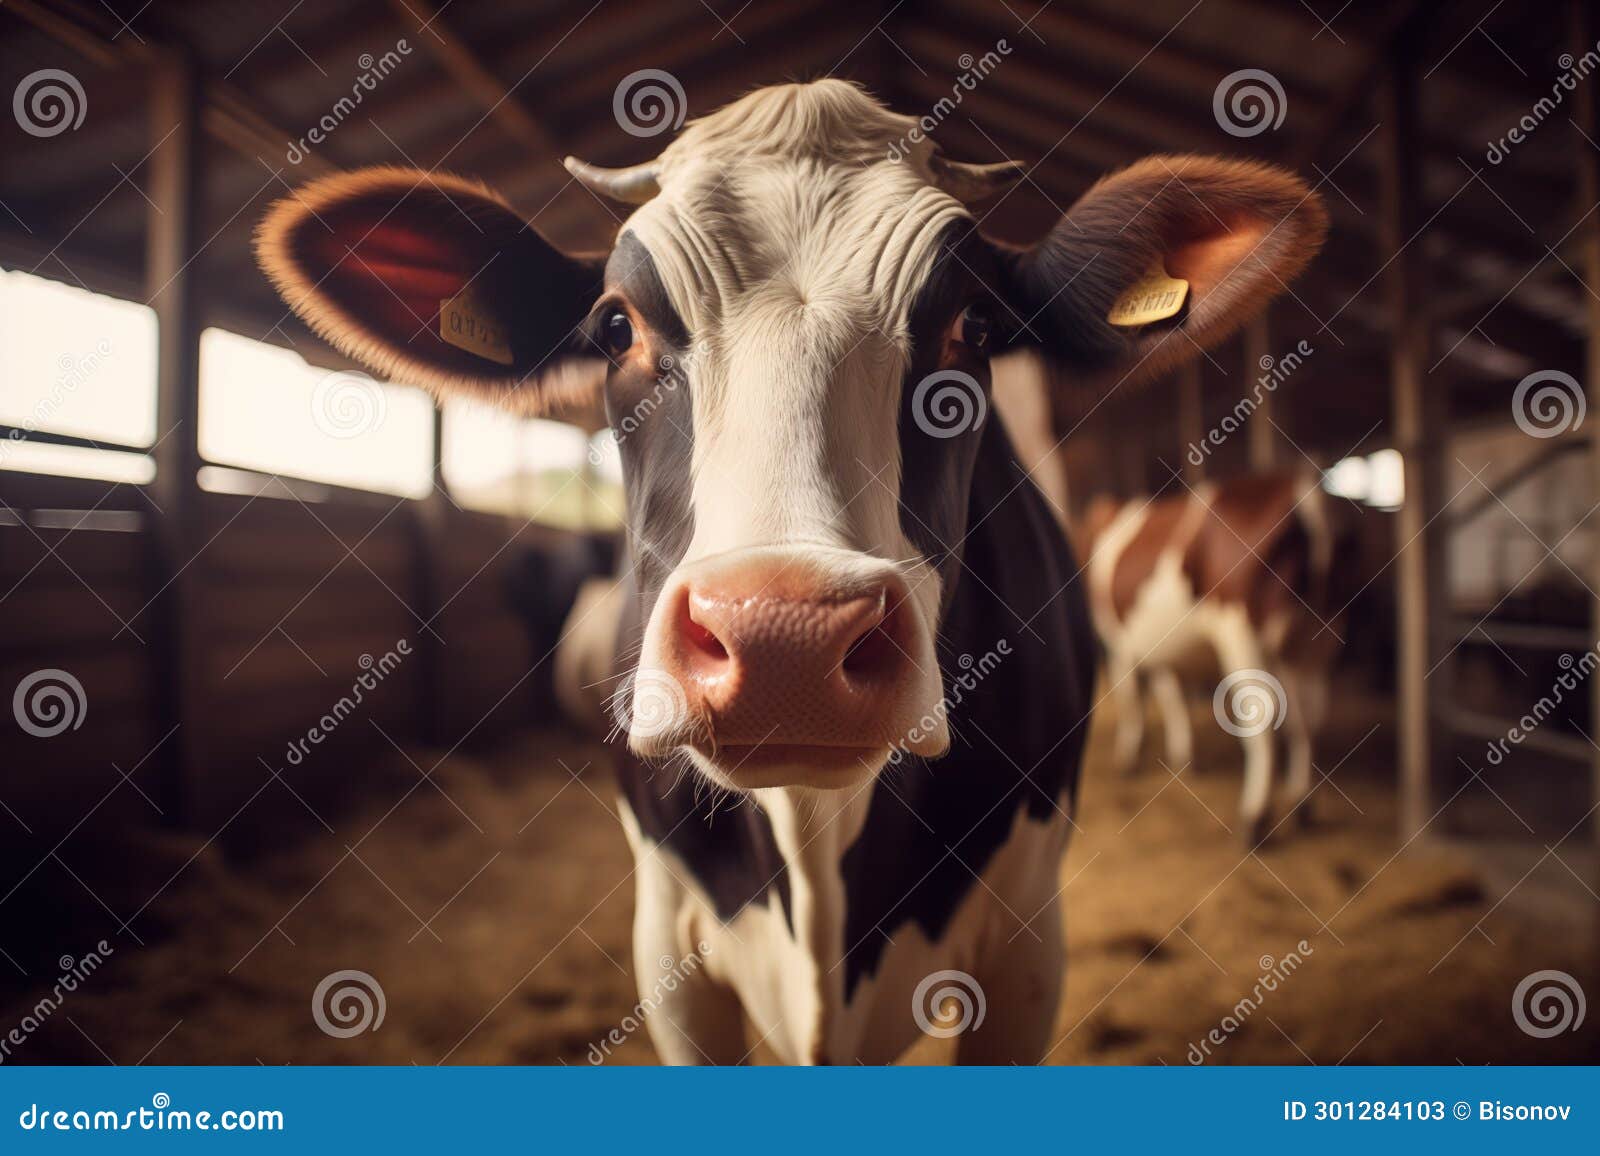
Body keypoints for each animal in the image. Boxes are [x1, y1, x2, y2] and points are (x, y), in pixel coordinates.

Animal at [1079, 473, 1352, 844]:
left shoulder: (1118, 644)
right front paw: (1183, 755)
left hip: (1241, 633)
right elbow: (1172, 695)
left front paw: (1128, 756)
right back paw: (1302, 805)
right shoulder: (1161, 649)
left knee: (1264, 715)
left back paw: (1255, 817)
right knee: (1308, 715)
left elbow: (1132, 699)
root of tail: (1306, 495)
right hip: (1317, 640)